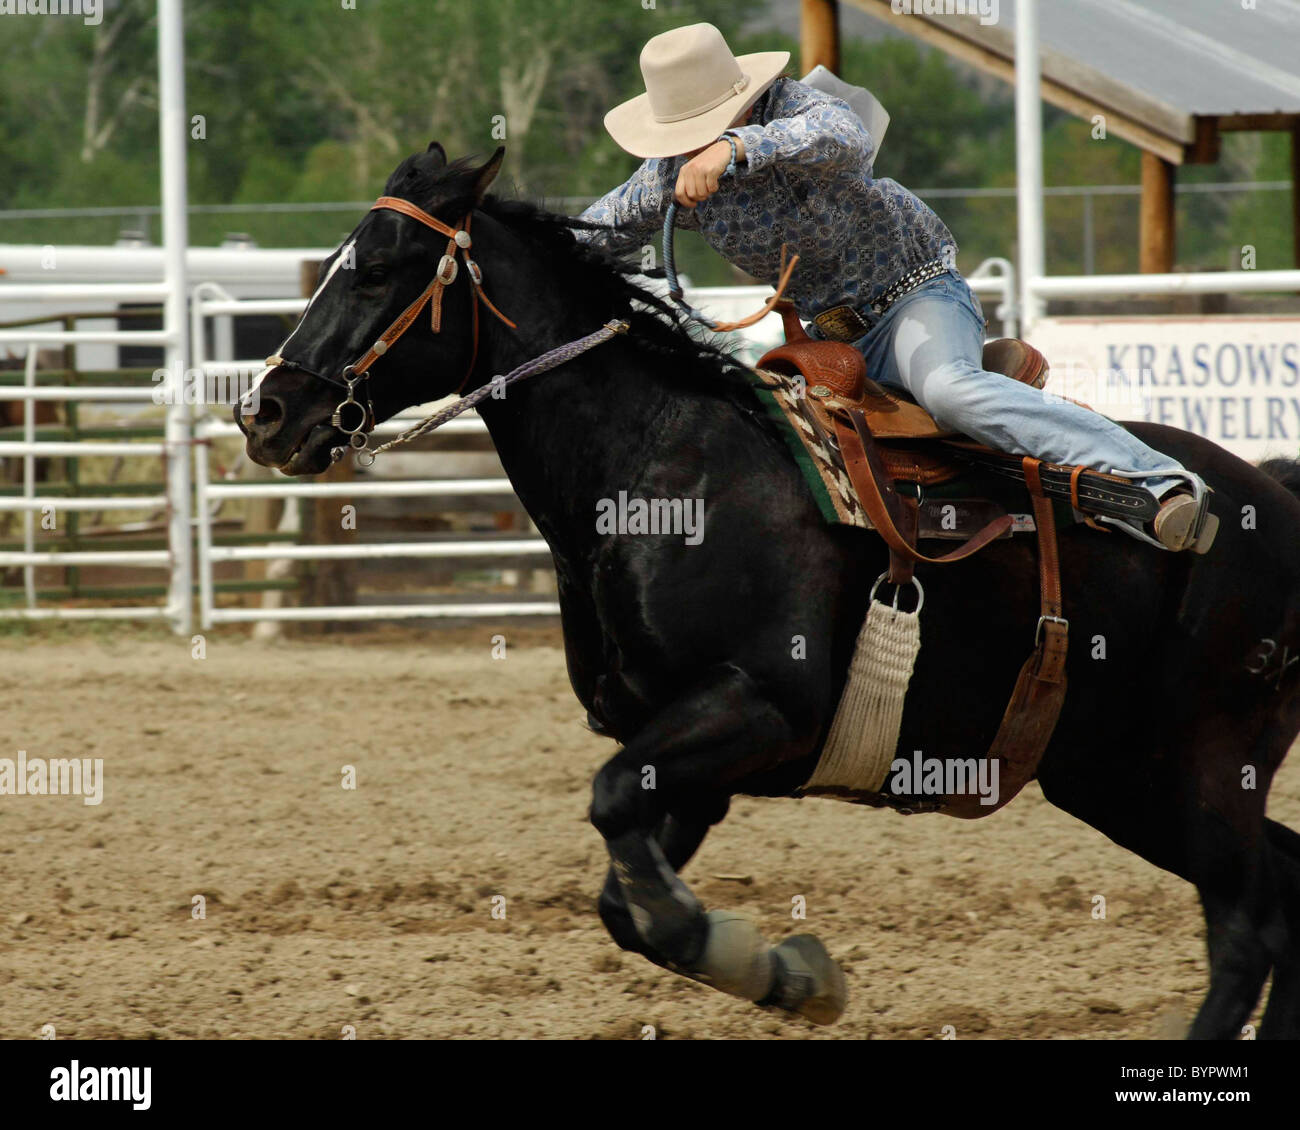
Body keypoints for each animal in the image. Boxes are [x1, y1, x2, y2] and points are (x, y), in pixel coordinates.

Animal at [235, 143, 1300, 1038]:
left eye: (379, 268)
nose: (269, 412)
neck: (658, 469)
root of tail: (1268, 498)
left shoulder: (761, 705)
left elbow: (619, 825)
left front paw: (783, 968)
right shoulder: (685, 749)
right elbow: (621, 893)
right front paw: (787, 974)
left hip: (1203, 759)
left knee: (1249, 924)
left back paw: (1163, 501)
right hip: (1117, 775)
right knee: (1279, 890)